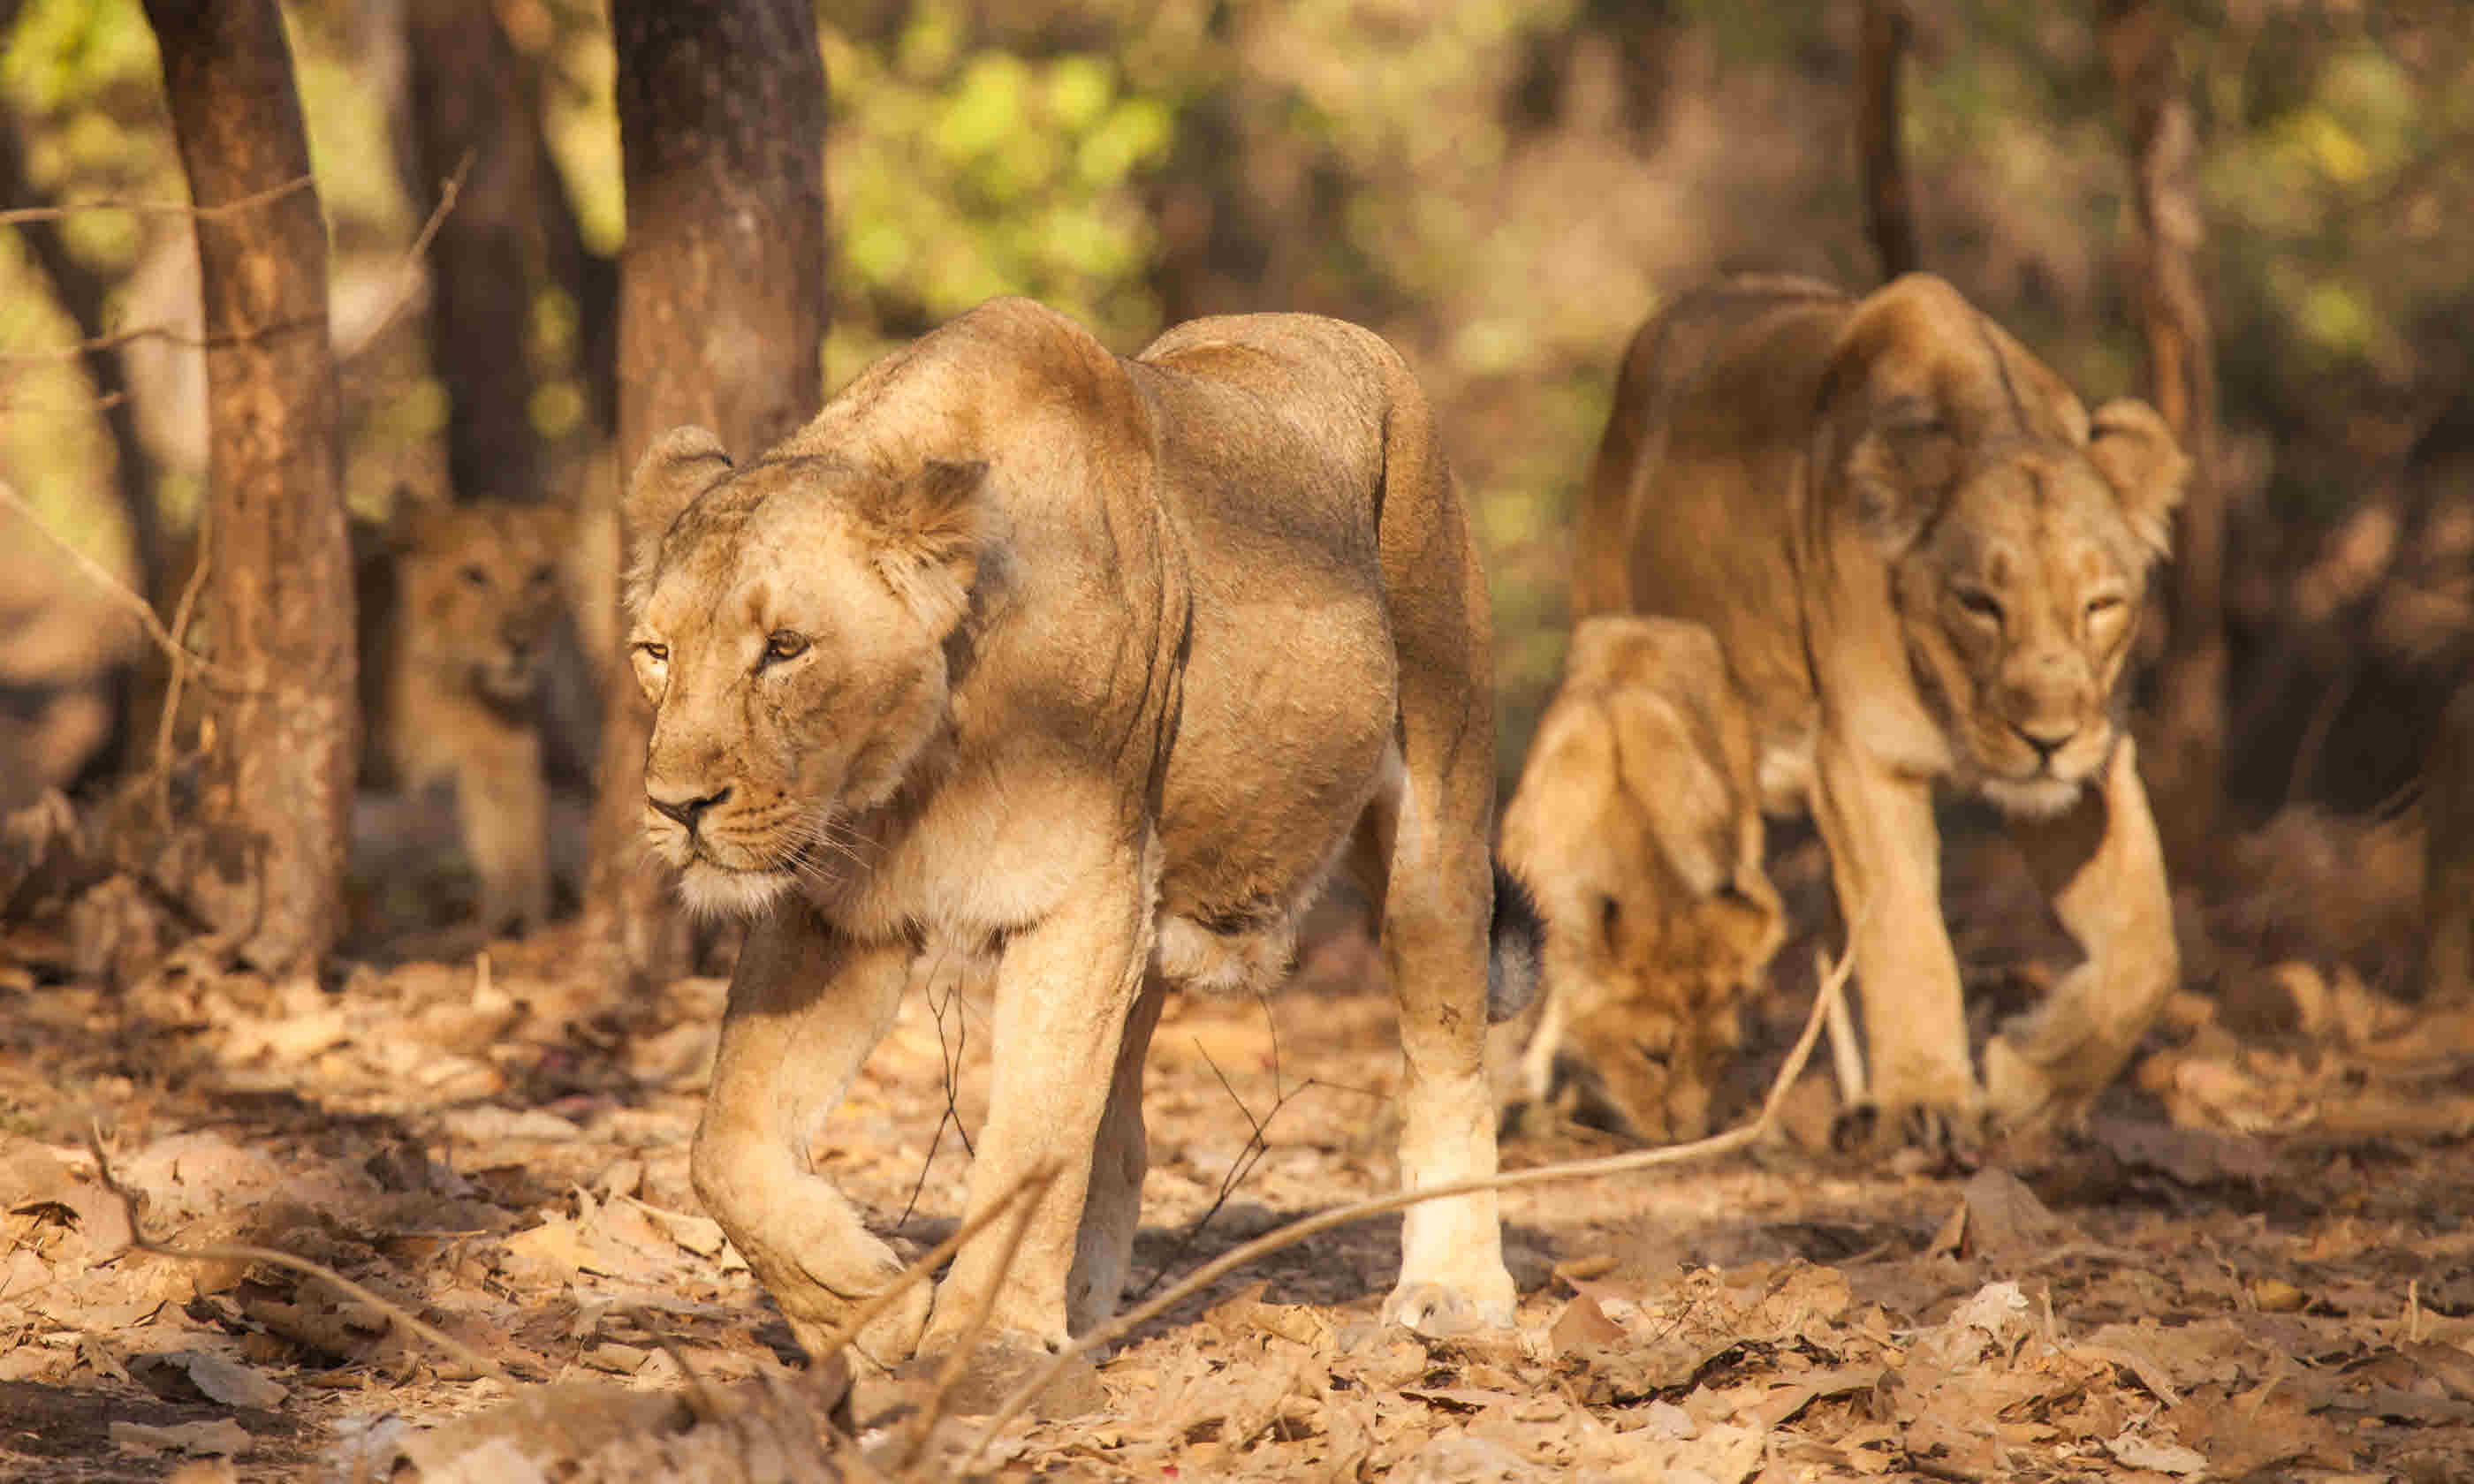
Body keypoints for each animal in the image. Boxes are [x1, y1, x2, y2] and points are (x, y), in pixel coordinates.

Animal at [369, 501, 575, 935]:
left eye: (541, 576)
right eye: (474, 576)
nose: (520, 644)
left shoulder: (505, 759)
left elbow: (516, 841)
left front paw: (519, 922)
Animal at [619, 298, 1528, 1375]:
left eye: (787, 649)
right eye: (655, 652)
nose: (675, 806)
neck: (909, 767)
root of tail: (1336, 327)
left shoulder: (1084, 889)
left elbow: (1035, 1135)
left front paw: (988, 1347)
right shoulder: (835, 910)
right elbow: (727, 1147)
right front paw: (874, 1311)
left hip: (1437, 804)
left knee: (1447, 1056)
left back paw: (1456, 1289)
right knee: (1123, 1122)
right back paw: (1090, 1313)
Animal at [1577, 272, 2188, 1143]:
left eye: (2101, 603)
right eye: (1979, 603)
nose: (2047, 737)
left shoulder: (2090, 771)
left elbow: (2147, 953)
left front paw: (2027, 1085)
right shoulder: (1865, 759)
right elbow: (1908, 933)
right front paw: (1928, 1098)